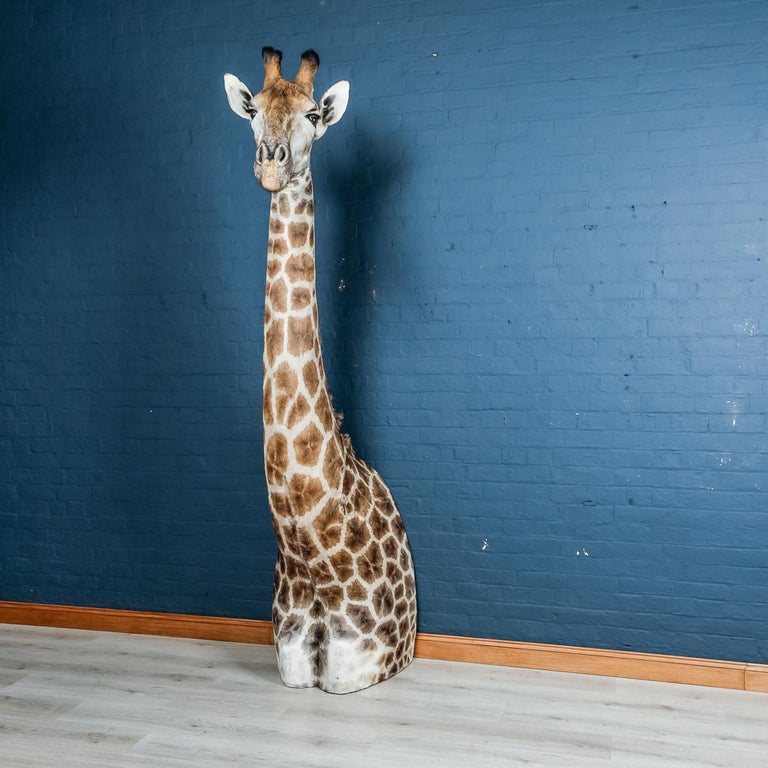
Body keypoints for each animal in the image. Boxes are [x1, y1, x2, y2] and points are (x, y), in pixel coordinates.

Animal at [224, 47, 417, 694]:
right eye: (253, 108)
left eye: (312, 113)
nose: (270, 165)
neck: (315, 563)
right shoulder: (287, 654)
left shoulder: (357, 666)